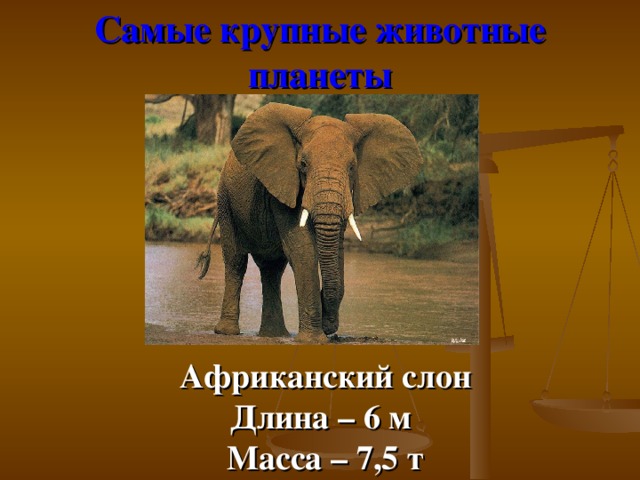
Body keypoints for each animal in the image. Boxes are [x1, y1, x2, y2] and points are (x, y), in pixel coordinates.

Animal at [198, 102, 423, 342]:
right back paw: (228, 332)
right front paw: (314, 339)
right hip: (225, 200)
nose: (331, 327)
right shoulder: (285, 183)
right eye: (303, 165)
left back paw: (274, 335)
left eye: (352, 167)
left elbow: (336, 249)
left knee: (272, 270)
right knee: (236, 260)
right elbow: (303, 249)